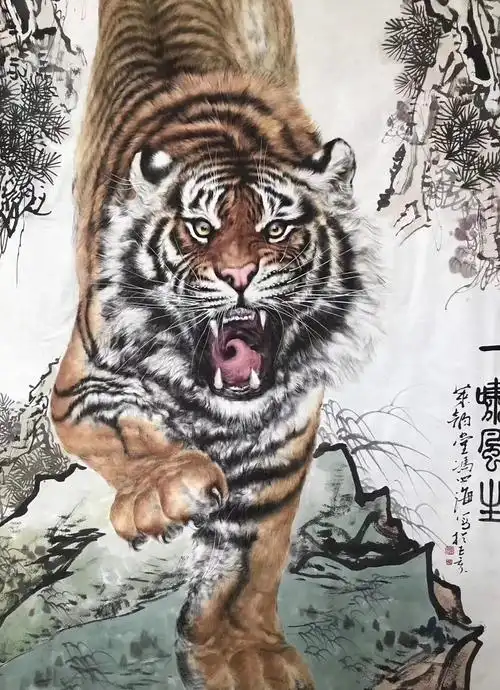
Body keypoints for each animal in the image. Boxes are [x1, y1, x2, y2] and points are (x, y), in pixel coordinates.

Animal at [49, 1, 386, 688]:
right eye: (201, 229)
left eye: (277, 228)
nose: (238, 275)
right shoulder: (81, 385)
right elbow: (127, 431)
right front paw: (165, 489)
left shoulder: (284, 434)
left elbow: (250, 558)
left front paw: (241, 651)